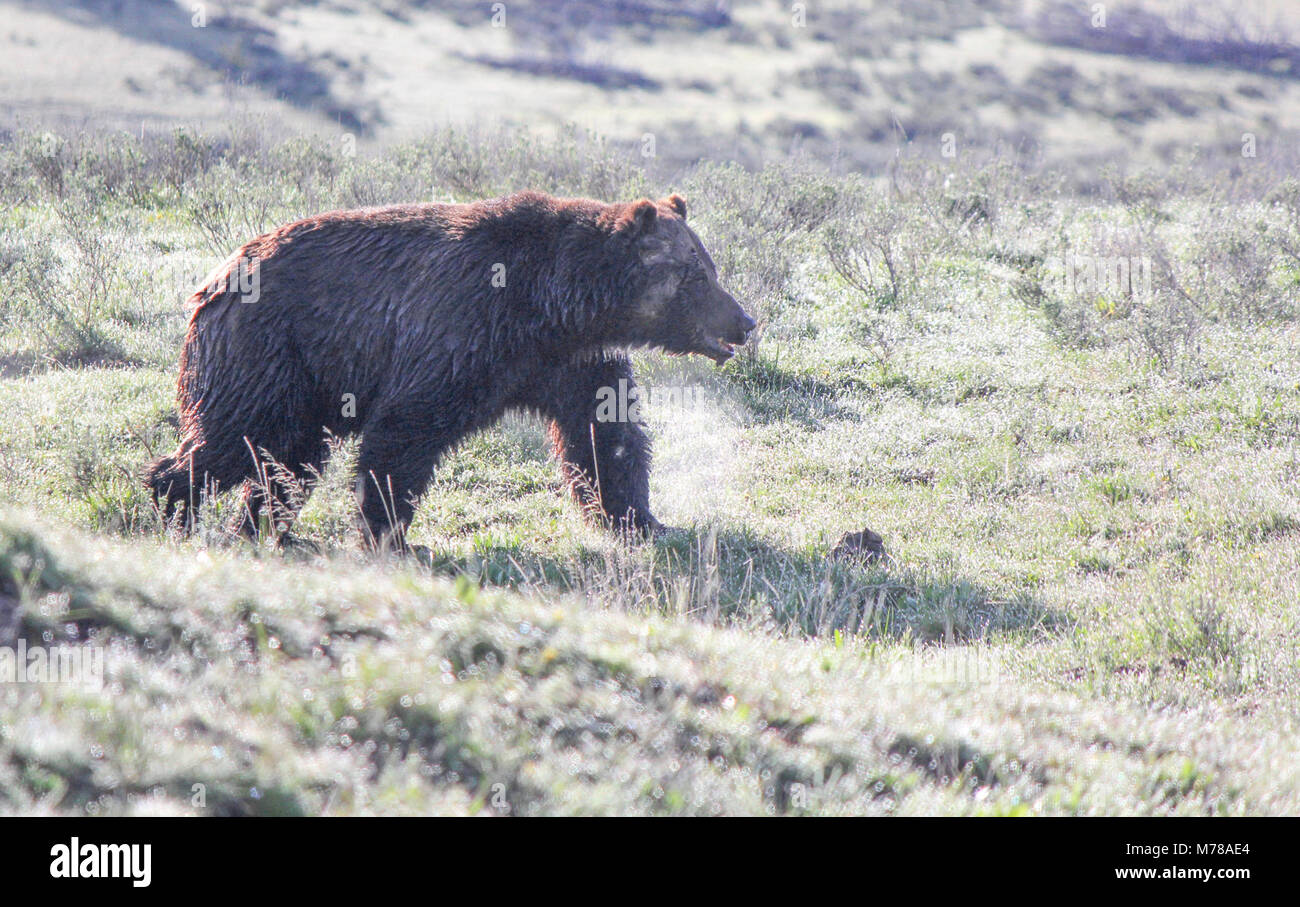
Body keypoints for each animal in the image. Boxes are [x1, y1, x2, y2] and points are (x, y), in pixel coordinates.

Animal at [145, 191, 755, 548]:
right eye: (697, 275)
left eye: (709, 266)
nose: (744, 321)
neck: (555, 307)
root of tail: (219, 275)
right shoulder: (459, 329)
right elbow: (406, 431)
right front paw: (391, 533)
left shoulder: (569, 363)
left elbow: (605, 434)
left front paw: (642, 519)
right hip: (269, 351)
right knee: (232, 436)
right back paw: (172, 501)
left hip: (307, 381)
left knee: (288, 460)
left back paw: (263, 526)